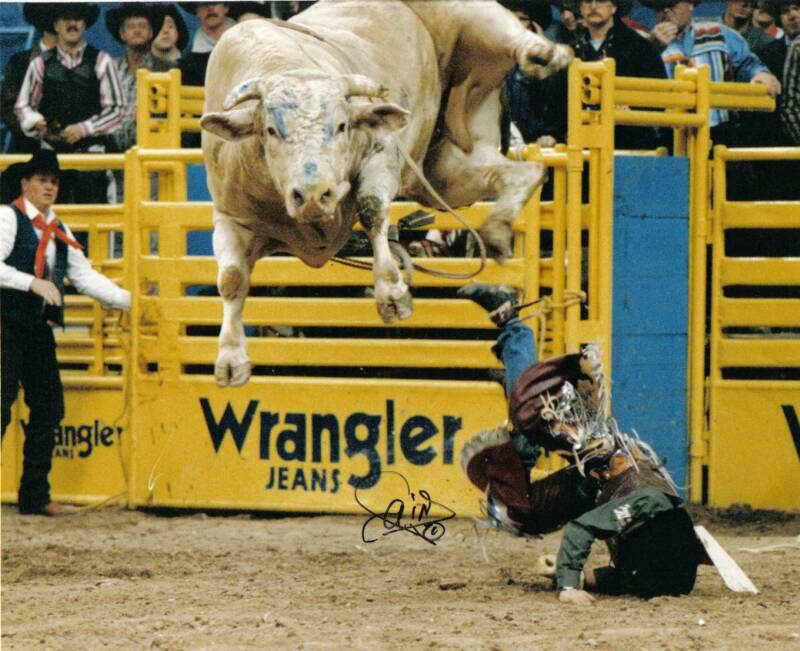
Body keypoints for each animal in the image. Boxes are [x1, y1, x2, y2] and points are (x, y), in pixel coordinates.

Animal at [199, 0, 572, 387]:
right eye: (271, 130)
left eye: (342, 125)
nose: (315, 195)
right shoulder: (231, 217)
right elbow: (231, 279)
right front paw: (230, 360)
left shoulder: (382, 152)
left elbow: (371, 208)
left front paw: (392, 295)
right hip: (446, 171)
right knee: (523, 173)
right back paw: (497, 231)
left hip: (470, 21)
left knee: (506, 33)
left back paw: (546, 54)